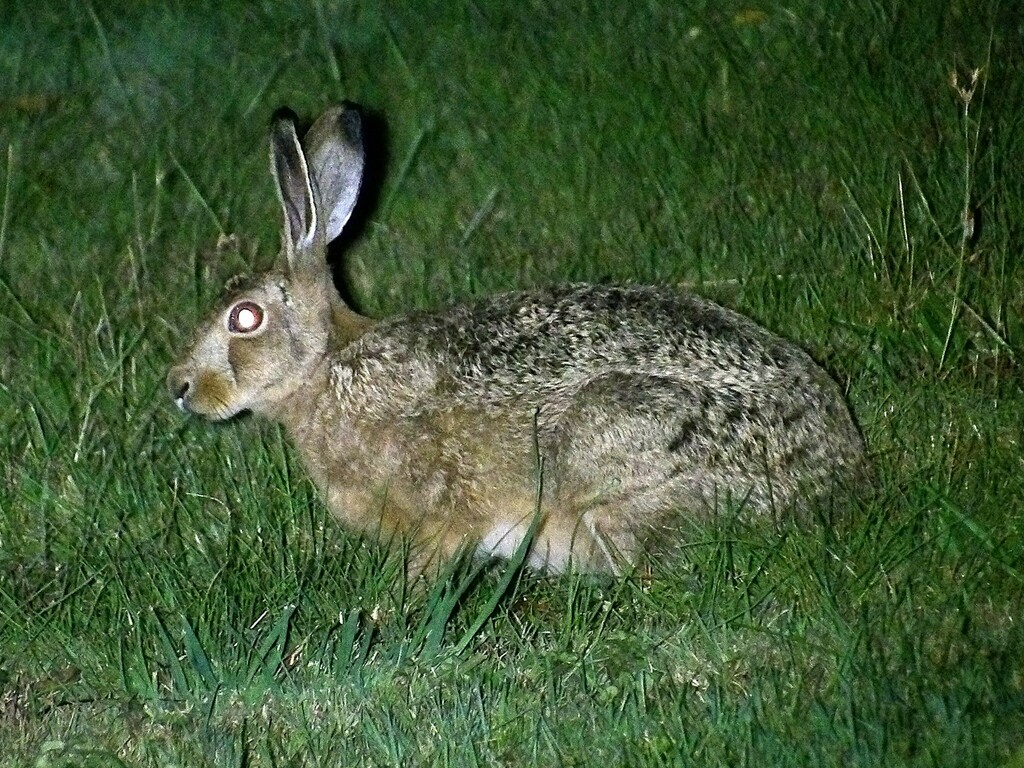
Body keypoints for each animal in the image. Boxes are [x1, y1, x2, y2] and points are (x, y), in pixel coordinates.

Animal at [167, 104, 868, 583]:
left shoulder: (441, 507)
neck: (324, 366)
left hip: (614, 435)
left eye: (245, 318)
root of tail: (837, 474)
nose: (178, 387)